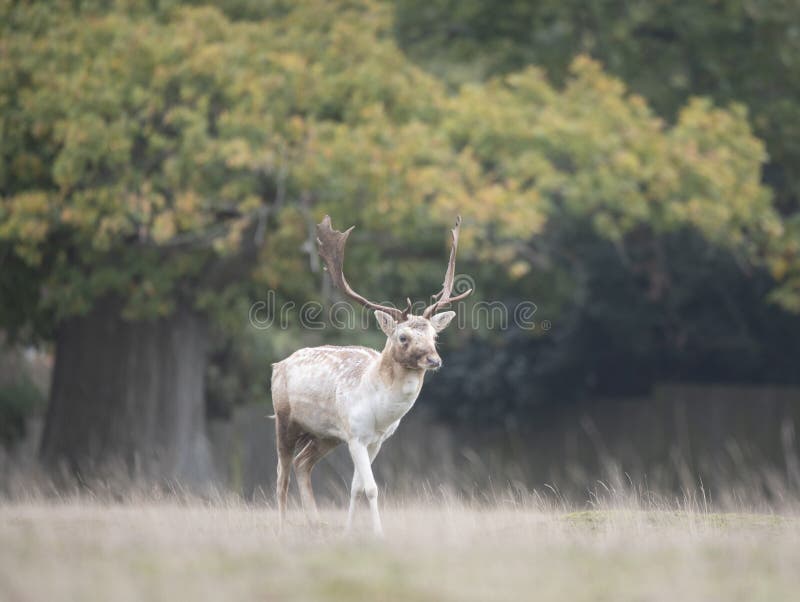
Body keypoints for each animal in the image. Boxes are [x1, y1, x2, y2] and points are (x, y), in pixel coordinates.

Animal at [270, 215, 472, 536]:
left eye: (434, 336)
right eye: (403, 337)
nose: (434, 360)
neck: (379, 412)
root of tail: (278, 365)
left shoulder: (375, 439)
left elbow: (356, 487)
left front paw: (349, 531)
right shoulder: (356, 435)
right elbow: (371, 488)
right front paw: (378, 533)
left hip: (325, 434)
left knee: (303, 464)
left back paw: (316, 523)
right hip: (284, 419)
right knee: (282, 472)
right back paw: (281, 527)